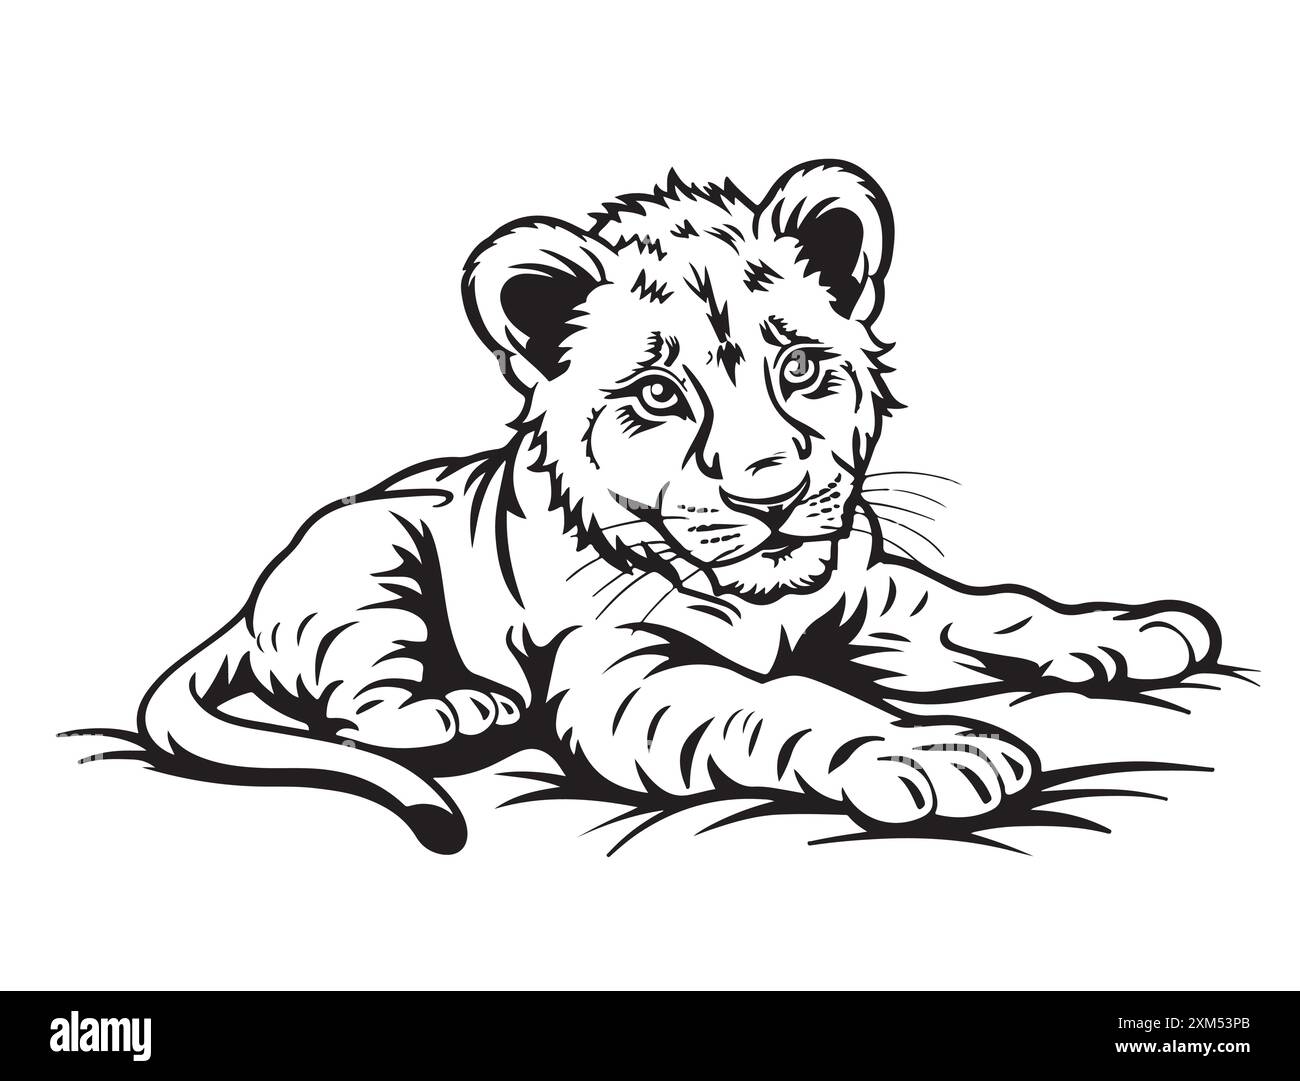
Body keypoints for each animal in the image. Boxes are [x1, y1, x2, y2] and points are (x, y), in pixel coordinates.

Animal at [87, 161, 1228, 853]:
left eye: (800, 367)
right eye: (658, 395)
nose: (772, 491)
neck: (767, 597)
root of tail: (247, 606)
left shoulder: (873, 601)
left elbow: (996, 606)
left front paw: (1130, 630)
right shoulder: (622, 673)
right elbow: (787, 701)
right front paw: (926, 751)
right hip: (370, 553)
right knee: (358, 699)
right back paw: (458, 708)